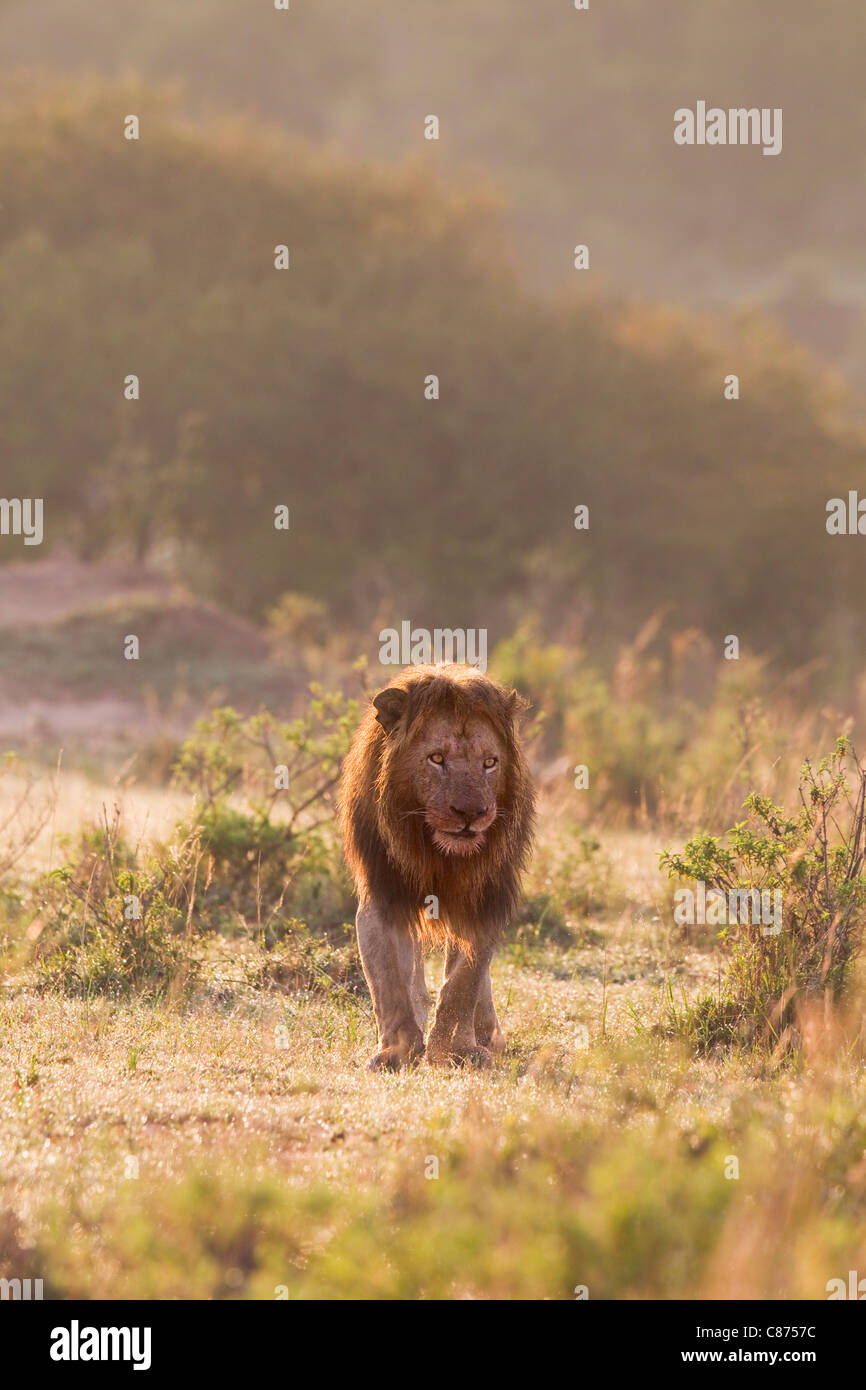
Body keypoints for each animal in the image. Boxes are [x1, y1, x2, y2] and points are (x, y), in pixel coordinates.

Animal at [339, 663, 536, 1070]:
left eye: (489, 763)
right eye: (437, 759)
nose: (471, 813)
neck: (438, 854)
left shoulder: (484, 901)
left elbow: (464, 982)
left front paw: (454, 1050)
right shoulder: (382, 894)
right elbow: (388, 981)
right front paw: (395, 1051)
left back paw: (486, 1034)